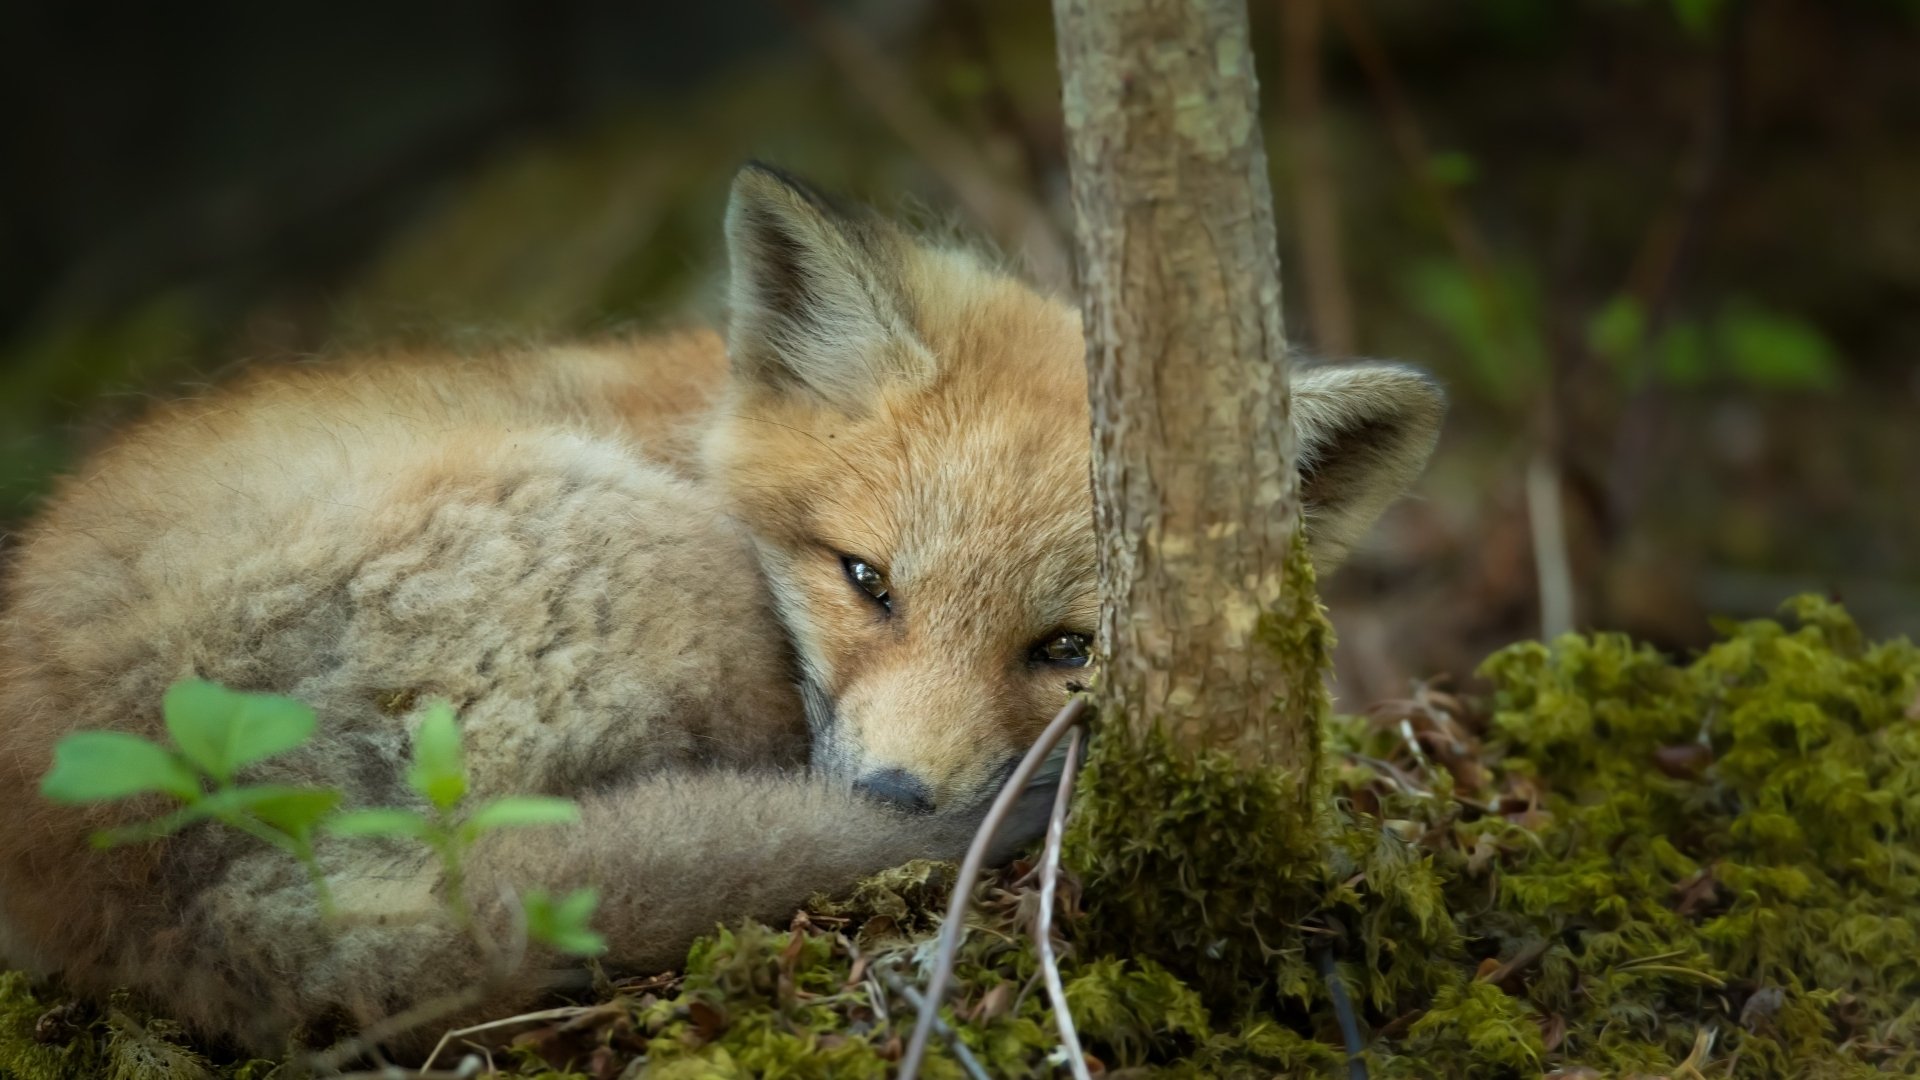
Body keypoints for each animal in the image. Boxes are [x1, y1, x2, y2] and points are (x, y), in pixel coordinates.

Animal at [0, 163, 1444, 1055]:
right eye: (867, 581)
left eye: (1066, 649)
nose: (894, 800)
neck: (691, 420)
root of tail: (133, 877)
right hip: (676, 594)